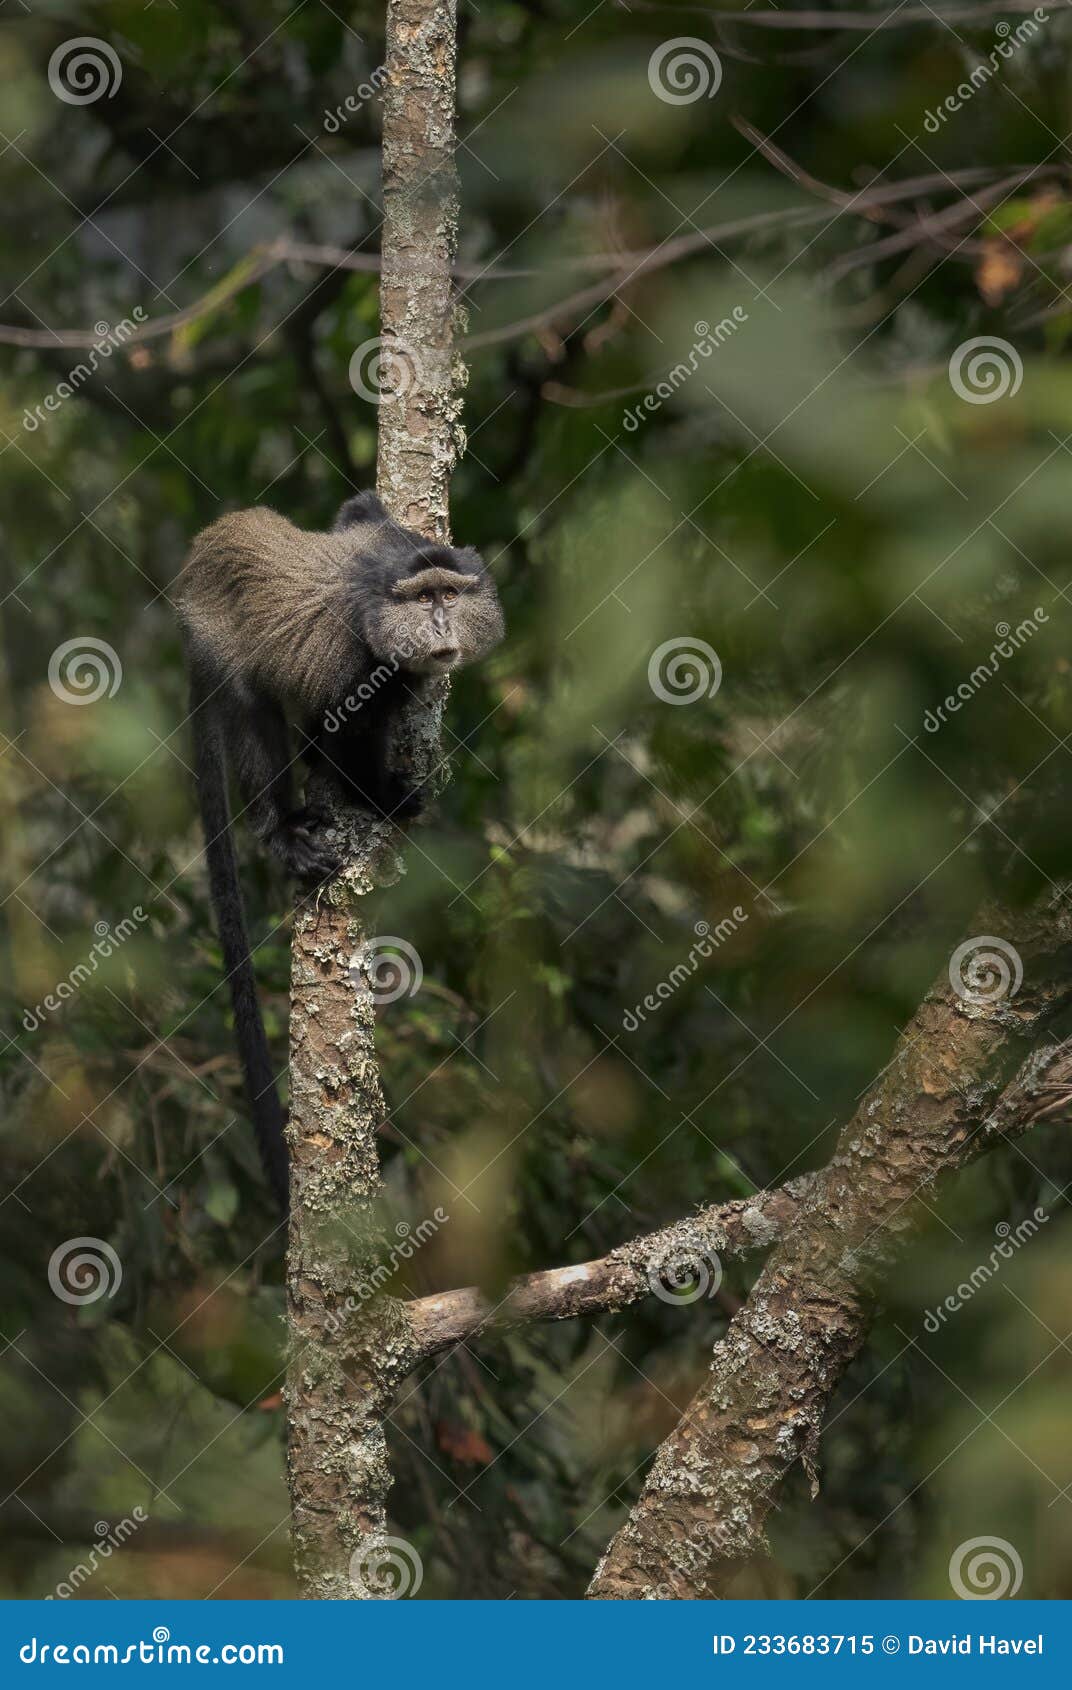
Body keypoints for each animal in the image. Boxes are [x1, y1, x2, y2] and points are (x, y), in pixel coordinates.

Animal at [175, 490, 504, 1209]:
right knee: (258, 719)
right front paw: (386, 800)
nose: (441, 623)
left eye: (449, 593)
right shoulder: (364, 667)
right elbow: (344, 737)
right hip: (223, 651)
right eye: (422, 600)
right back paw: (282, 830)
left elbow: (358, 509)